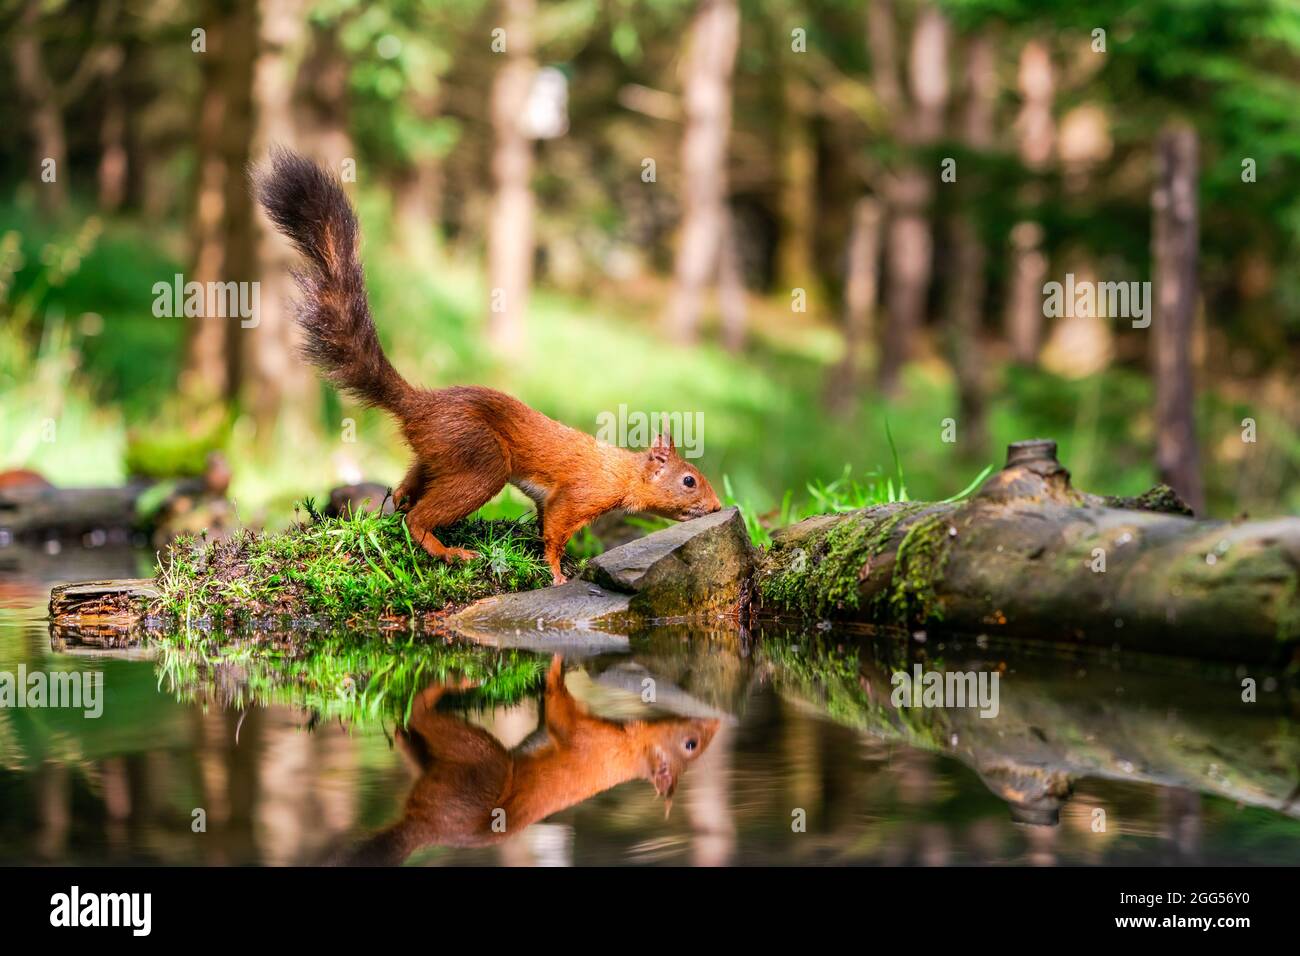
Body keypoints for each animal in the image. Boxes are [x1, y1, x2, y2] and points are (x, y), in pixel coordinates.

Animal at [254, 150, 722, 585]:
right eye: (689, 480)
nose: (718, 505)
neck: (622, 473)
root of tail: (421, 406)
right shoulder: (580, 493)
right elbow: (555, 529)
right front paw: (557, 573)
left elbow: (542, 518)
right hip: (480, 458)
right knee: (421, 517)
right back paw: (445, 550)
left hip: (443, 454)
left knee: (412, 484)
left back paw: (400, 501)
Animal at [341, 655, 719, 864]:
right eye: (691, 744)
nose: (715, 721)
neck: (622, 751)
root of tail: (425, 826)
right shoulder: (582, 739)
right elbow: (559, 708)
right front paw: (553, 674)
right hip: (483, 771)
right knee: (419, 714)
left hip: (469, 764)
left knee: (414, 724)